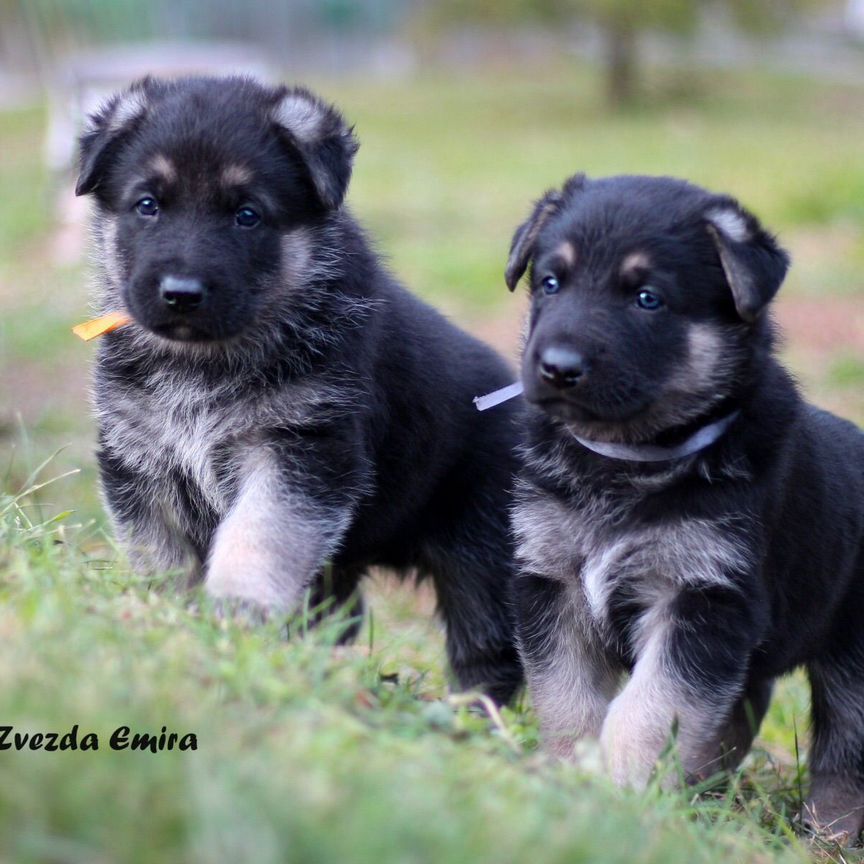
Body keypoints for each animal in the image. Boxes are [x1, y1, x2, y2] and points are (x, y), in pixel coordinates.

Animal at [74, 76, 520, 704]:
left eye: (247, 215)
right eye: (147, 205)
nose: (181, 293)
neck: (206, 362)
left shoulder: (301, 451)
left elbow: (259, 533)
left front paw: (238, 610)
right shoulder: (141, 458)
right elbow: (160, 551)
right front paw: (169, 617)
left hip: (482, 554)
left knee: (486, 649)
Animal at [506, 172, 864, 840]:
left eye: (648, 299)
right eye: (550, 283)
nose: (557, 368)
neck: (629, 461)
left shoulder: (702, 598)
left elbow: (651, 708)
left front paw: (622, 793)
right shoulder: (553, 583)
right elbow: (569, 699)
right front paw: (571, 780)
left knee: (845, 746)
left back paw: (827, 833)